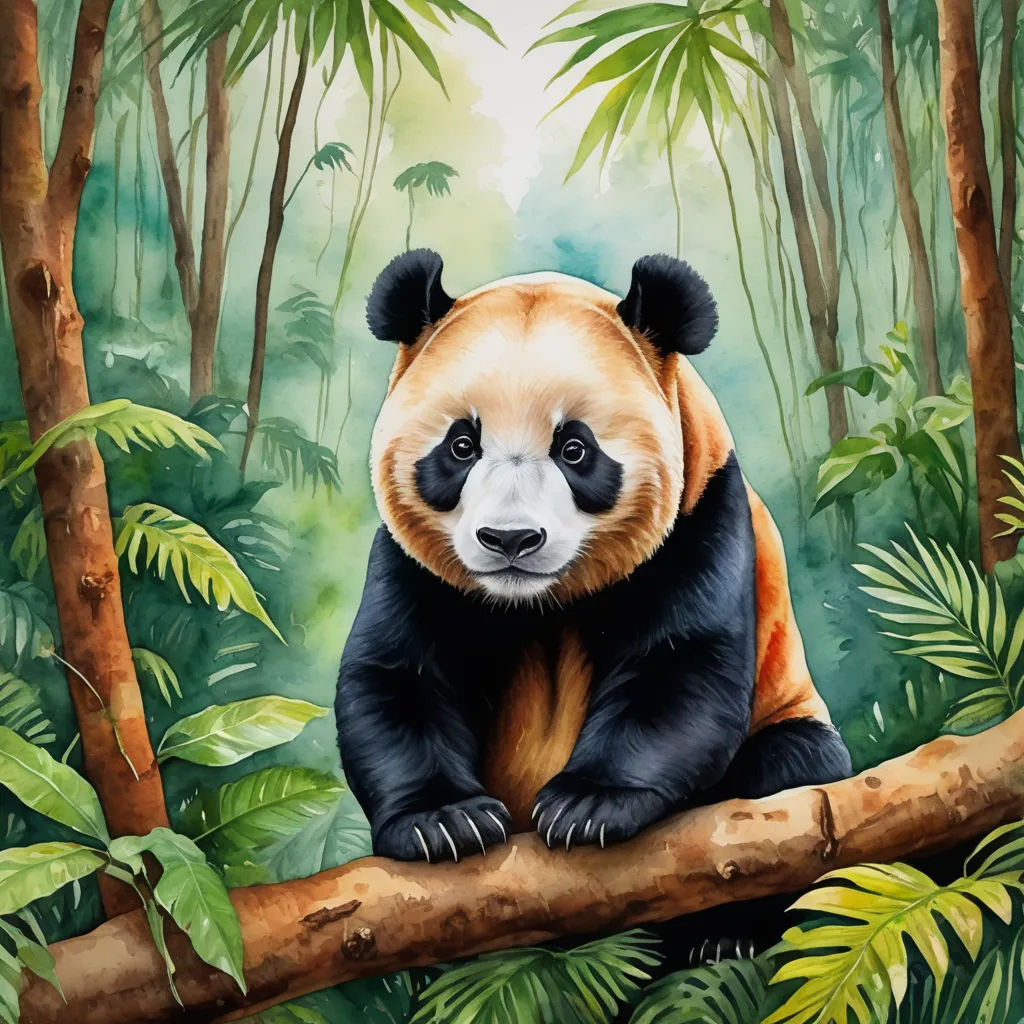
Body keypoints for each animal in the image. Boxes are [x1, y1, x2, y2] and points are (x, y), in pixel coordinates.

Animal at [336, 249, 851, 874]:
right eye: (461, 445)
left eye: (574, 449)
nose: (510, 539)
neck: (539, 603)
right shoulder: (415, 562)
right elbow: (399, 672)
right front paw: (443, 821)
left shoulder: (702, 514)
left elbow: (677, 666)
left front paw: (587, 805)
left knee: (793, 763)